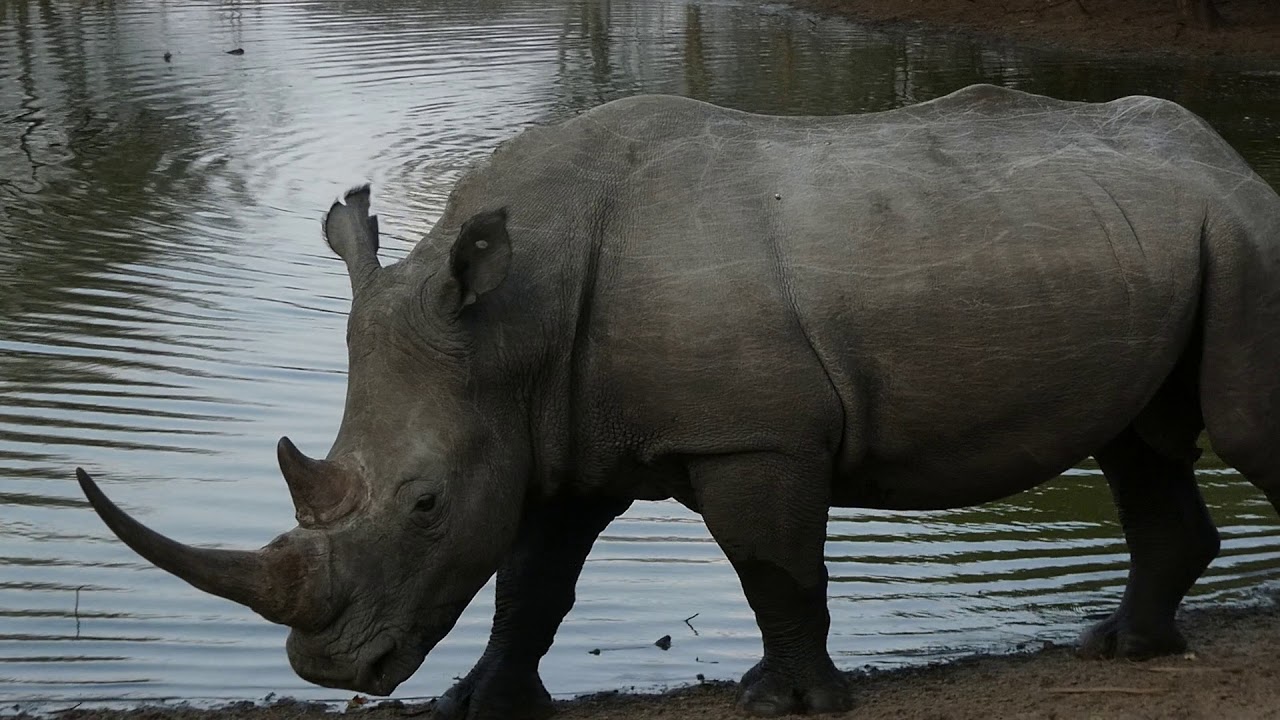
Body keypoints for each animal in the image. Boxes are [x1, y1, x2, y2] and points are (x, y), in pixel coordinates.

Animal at [77, 84, 1280, 718]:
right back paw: (1119, 650)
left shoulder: (751, 437)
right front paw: (478, 703)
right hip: (1159, 239)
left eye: (422, 507)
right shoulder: (546, 434)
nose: (331, 672)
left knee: (1241, 431)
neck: (513, 320)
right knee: (1140, 446)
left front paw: (787, 703)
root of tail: (1228, 159)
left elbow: (774, 571)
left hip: (1247, 236)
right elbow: (530, 582)